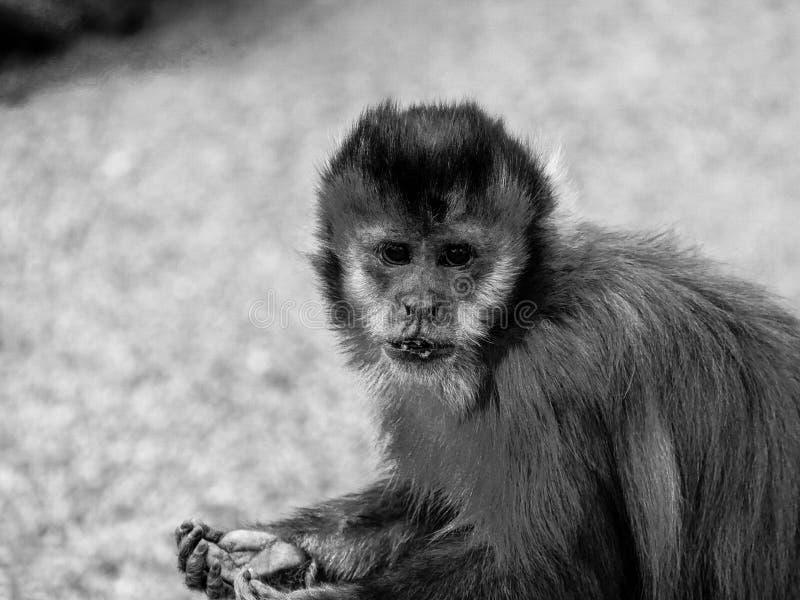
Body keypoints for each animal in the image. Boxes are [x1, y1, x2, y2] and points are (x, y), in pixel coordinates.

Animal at [175, 101, 800, 600]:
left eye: (456, 256)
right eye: (397, 254)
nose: (420, 304)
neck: (517, 321)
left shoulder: (550, 378)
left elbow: (560, 575)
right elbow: (438, 506)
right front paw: (278, 551)